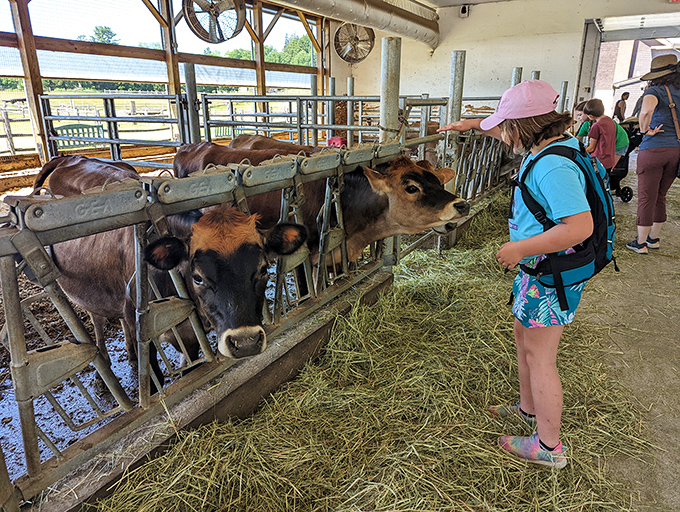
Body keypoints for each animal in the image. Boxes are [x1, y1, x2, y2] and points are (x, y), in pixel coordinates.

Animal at [32, 156, 307, 386]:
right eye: (198, 277)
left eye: (263, 269)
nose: (246, 342)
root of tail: (71, 157)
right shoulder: (141, 325)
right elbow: (153, 378)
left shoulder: (191, 337)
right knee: (97, 320)